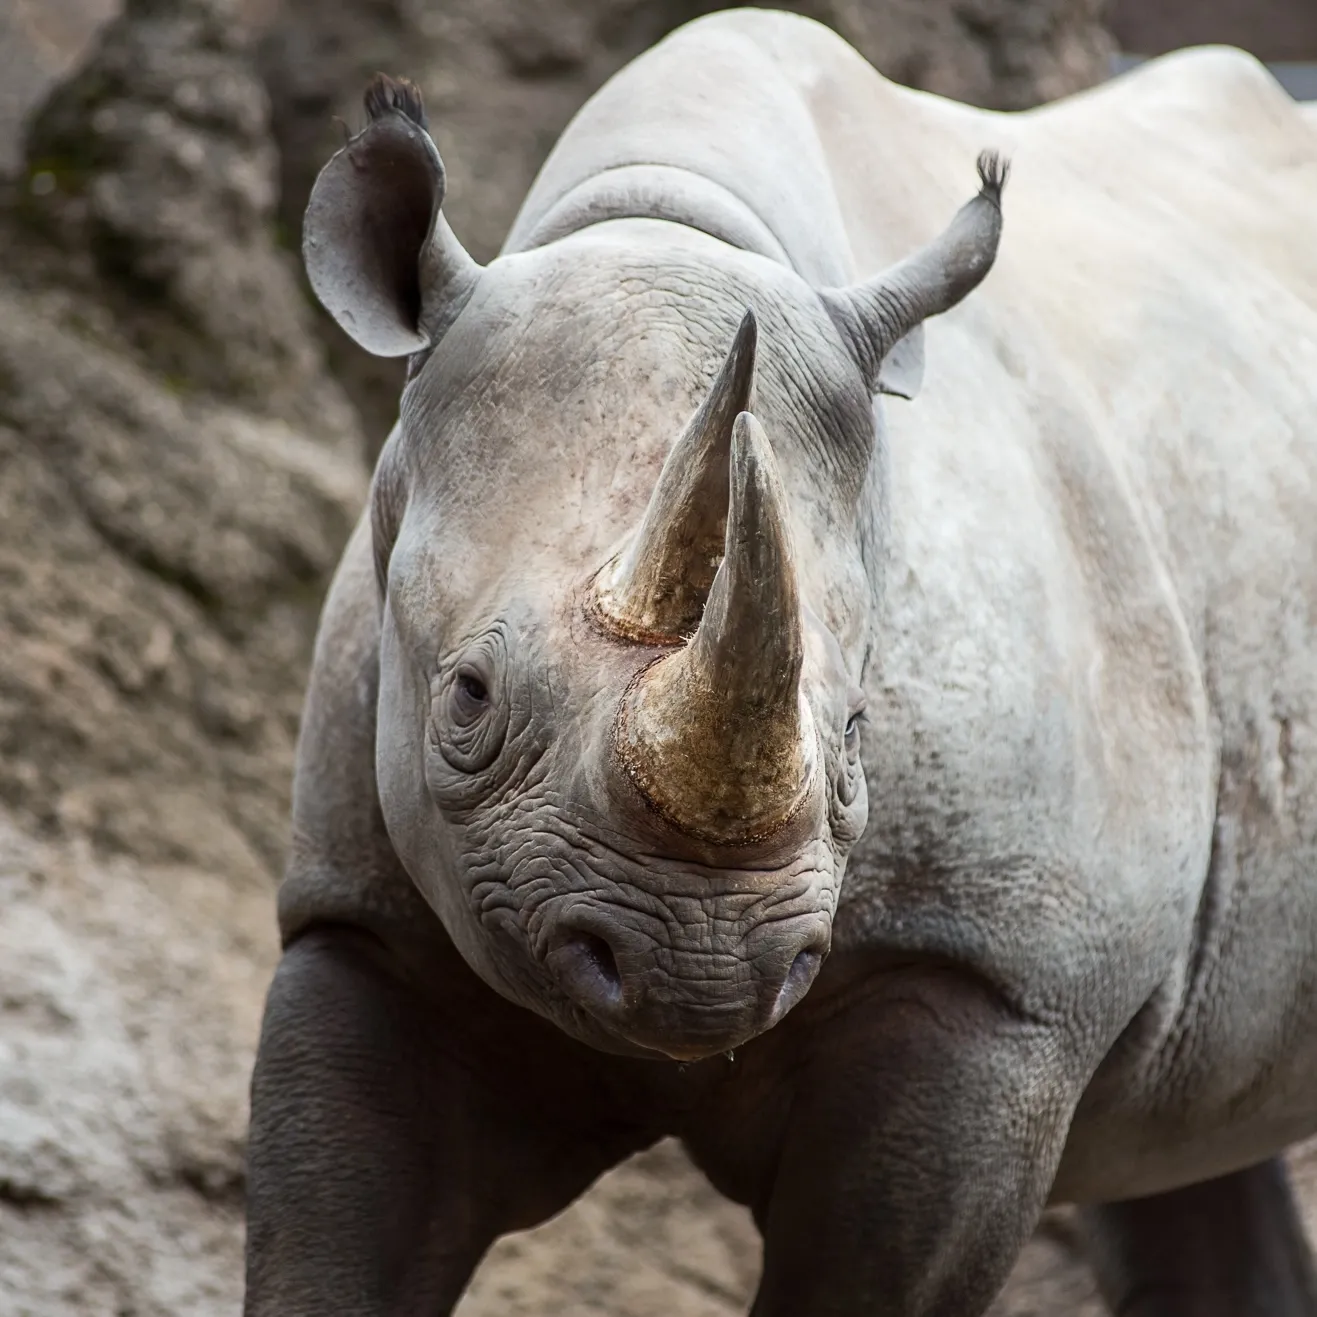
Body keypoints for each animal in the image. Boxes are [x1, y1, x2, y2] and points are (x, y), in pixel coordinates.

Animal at [244, 9, 1317, 1315]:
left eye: (856, 740)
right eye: (466, 700)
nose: (693, 970)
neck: (663, 217)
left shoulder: (997, 987)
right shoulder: (362, 929)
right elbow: (329, 1243)